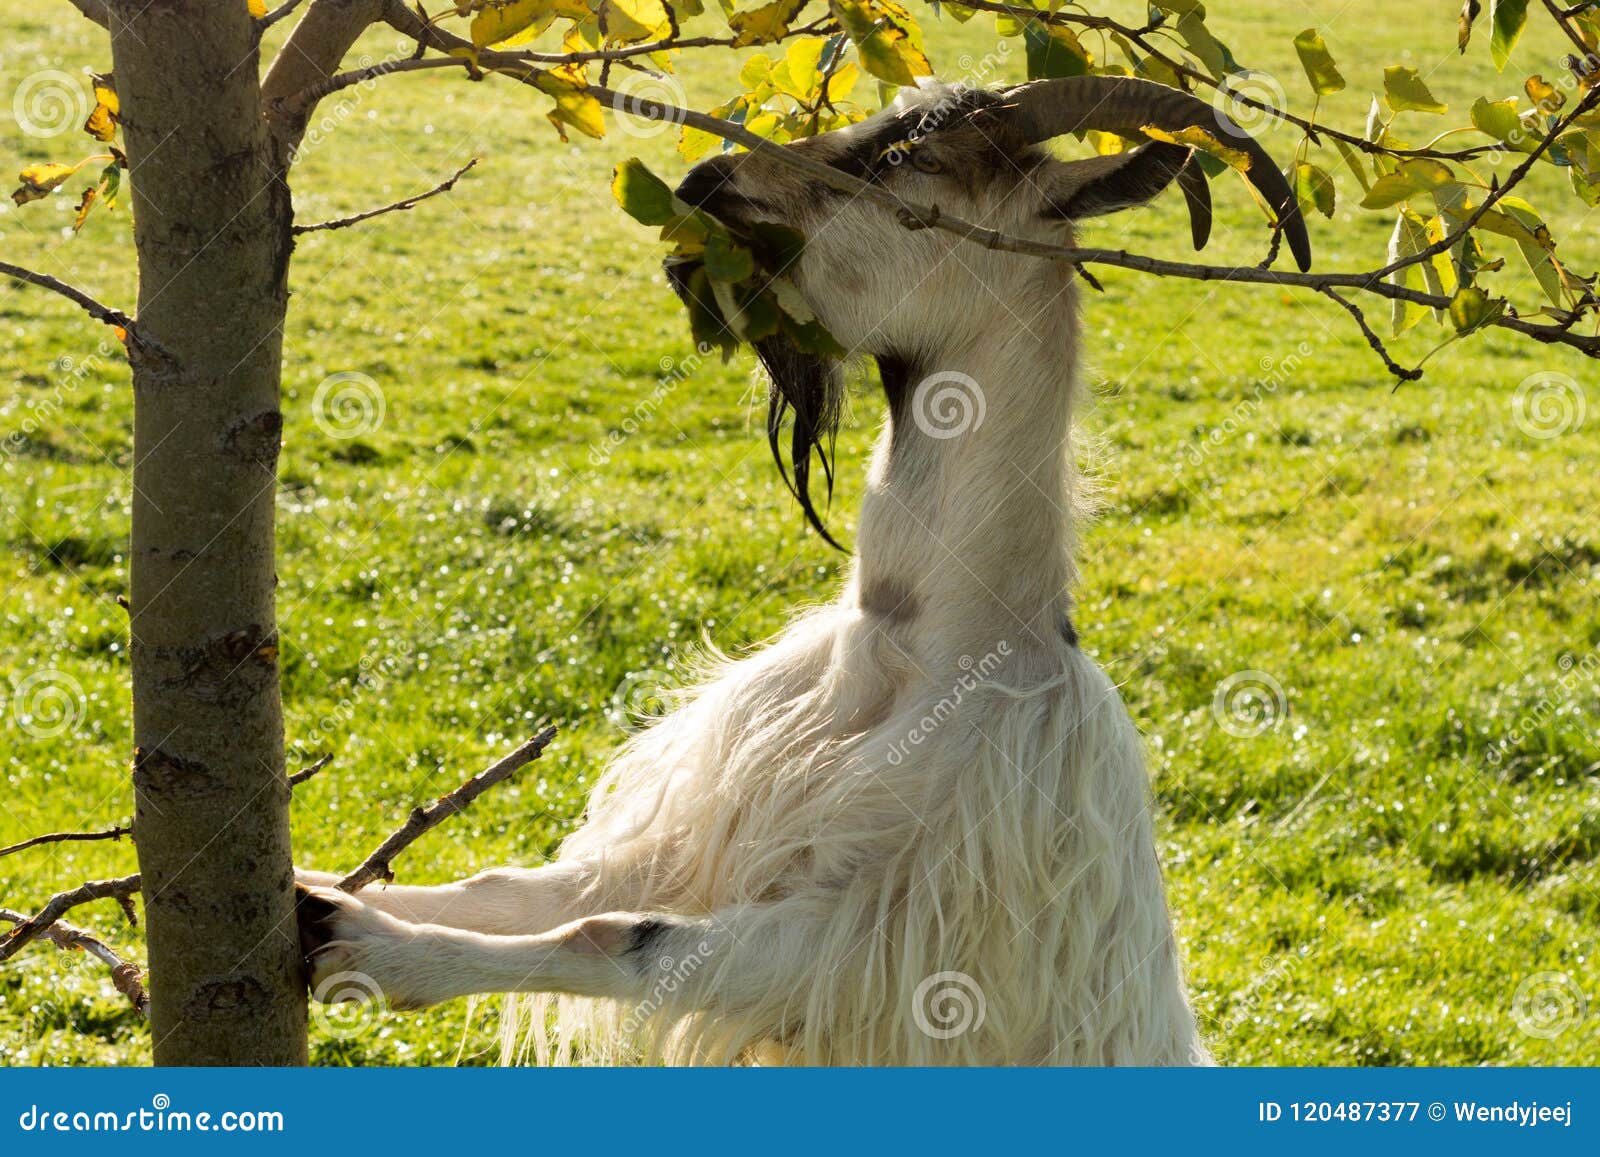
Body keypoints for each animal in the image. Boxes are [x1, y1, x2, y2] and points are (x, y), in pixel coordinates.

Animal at [298, 76, 1310, 1065]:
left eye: (909, 160)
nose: (703, 179)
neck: (931, 643)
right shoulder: (709, 836)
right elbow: (517, 884)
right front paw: (316, 889)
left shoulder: (856, 942)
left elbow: (619, 937)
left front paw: (376, 954)